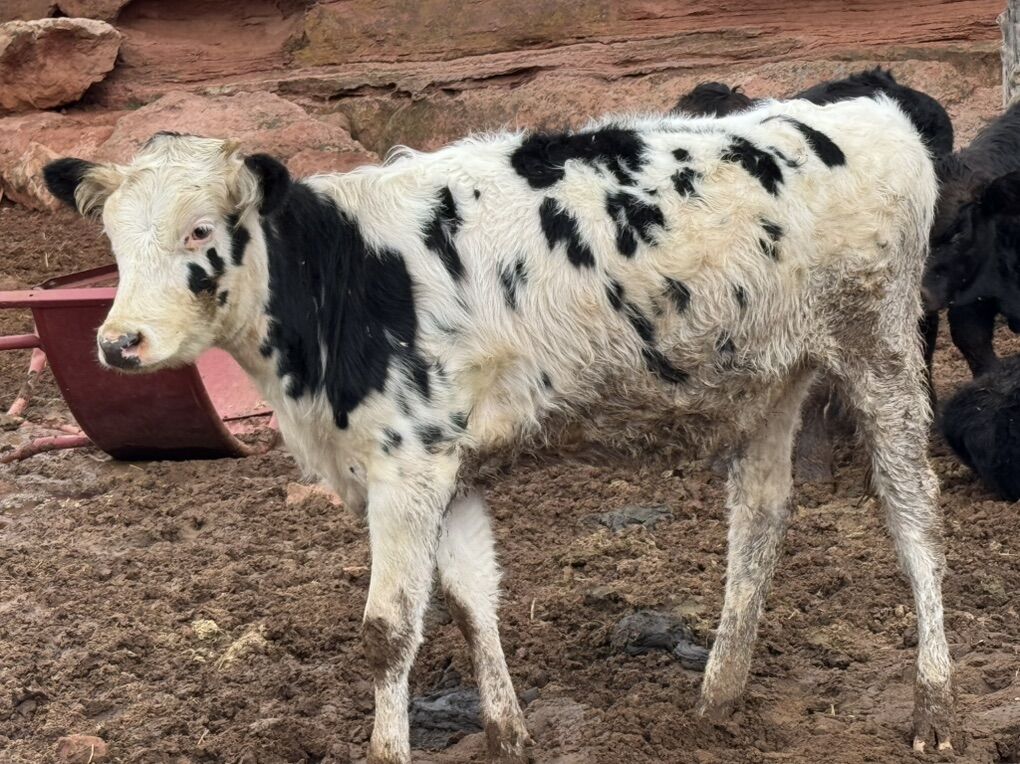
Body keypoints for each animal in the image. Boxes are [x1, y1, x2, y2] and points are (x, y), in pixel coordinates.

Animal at [43, 97, 951, 762]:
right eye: (114, 240)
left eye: (200, 229)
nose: (119, 342)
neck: (342, 281)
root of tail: (859, 107)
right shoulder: (446, 464)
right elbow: (471, 599)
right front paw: (509, 734)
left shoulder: (405, 467)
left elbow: (388, 632)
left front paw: (388, 751)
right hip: (769, 382)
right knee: (758, 519)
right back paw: (719, 696)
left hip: (881, 352)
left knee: (913, 517)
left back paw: (933, 702)